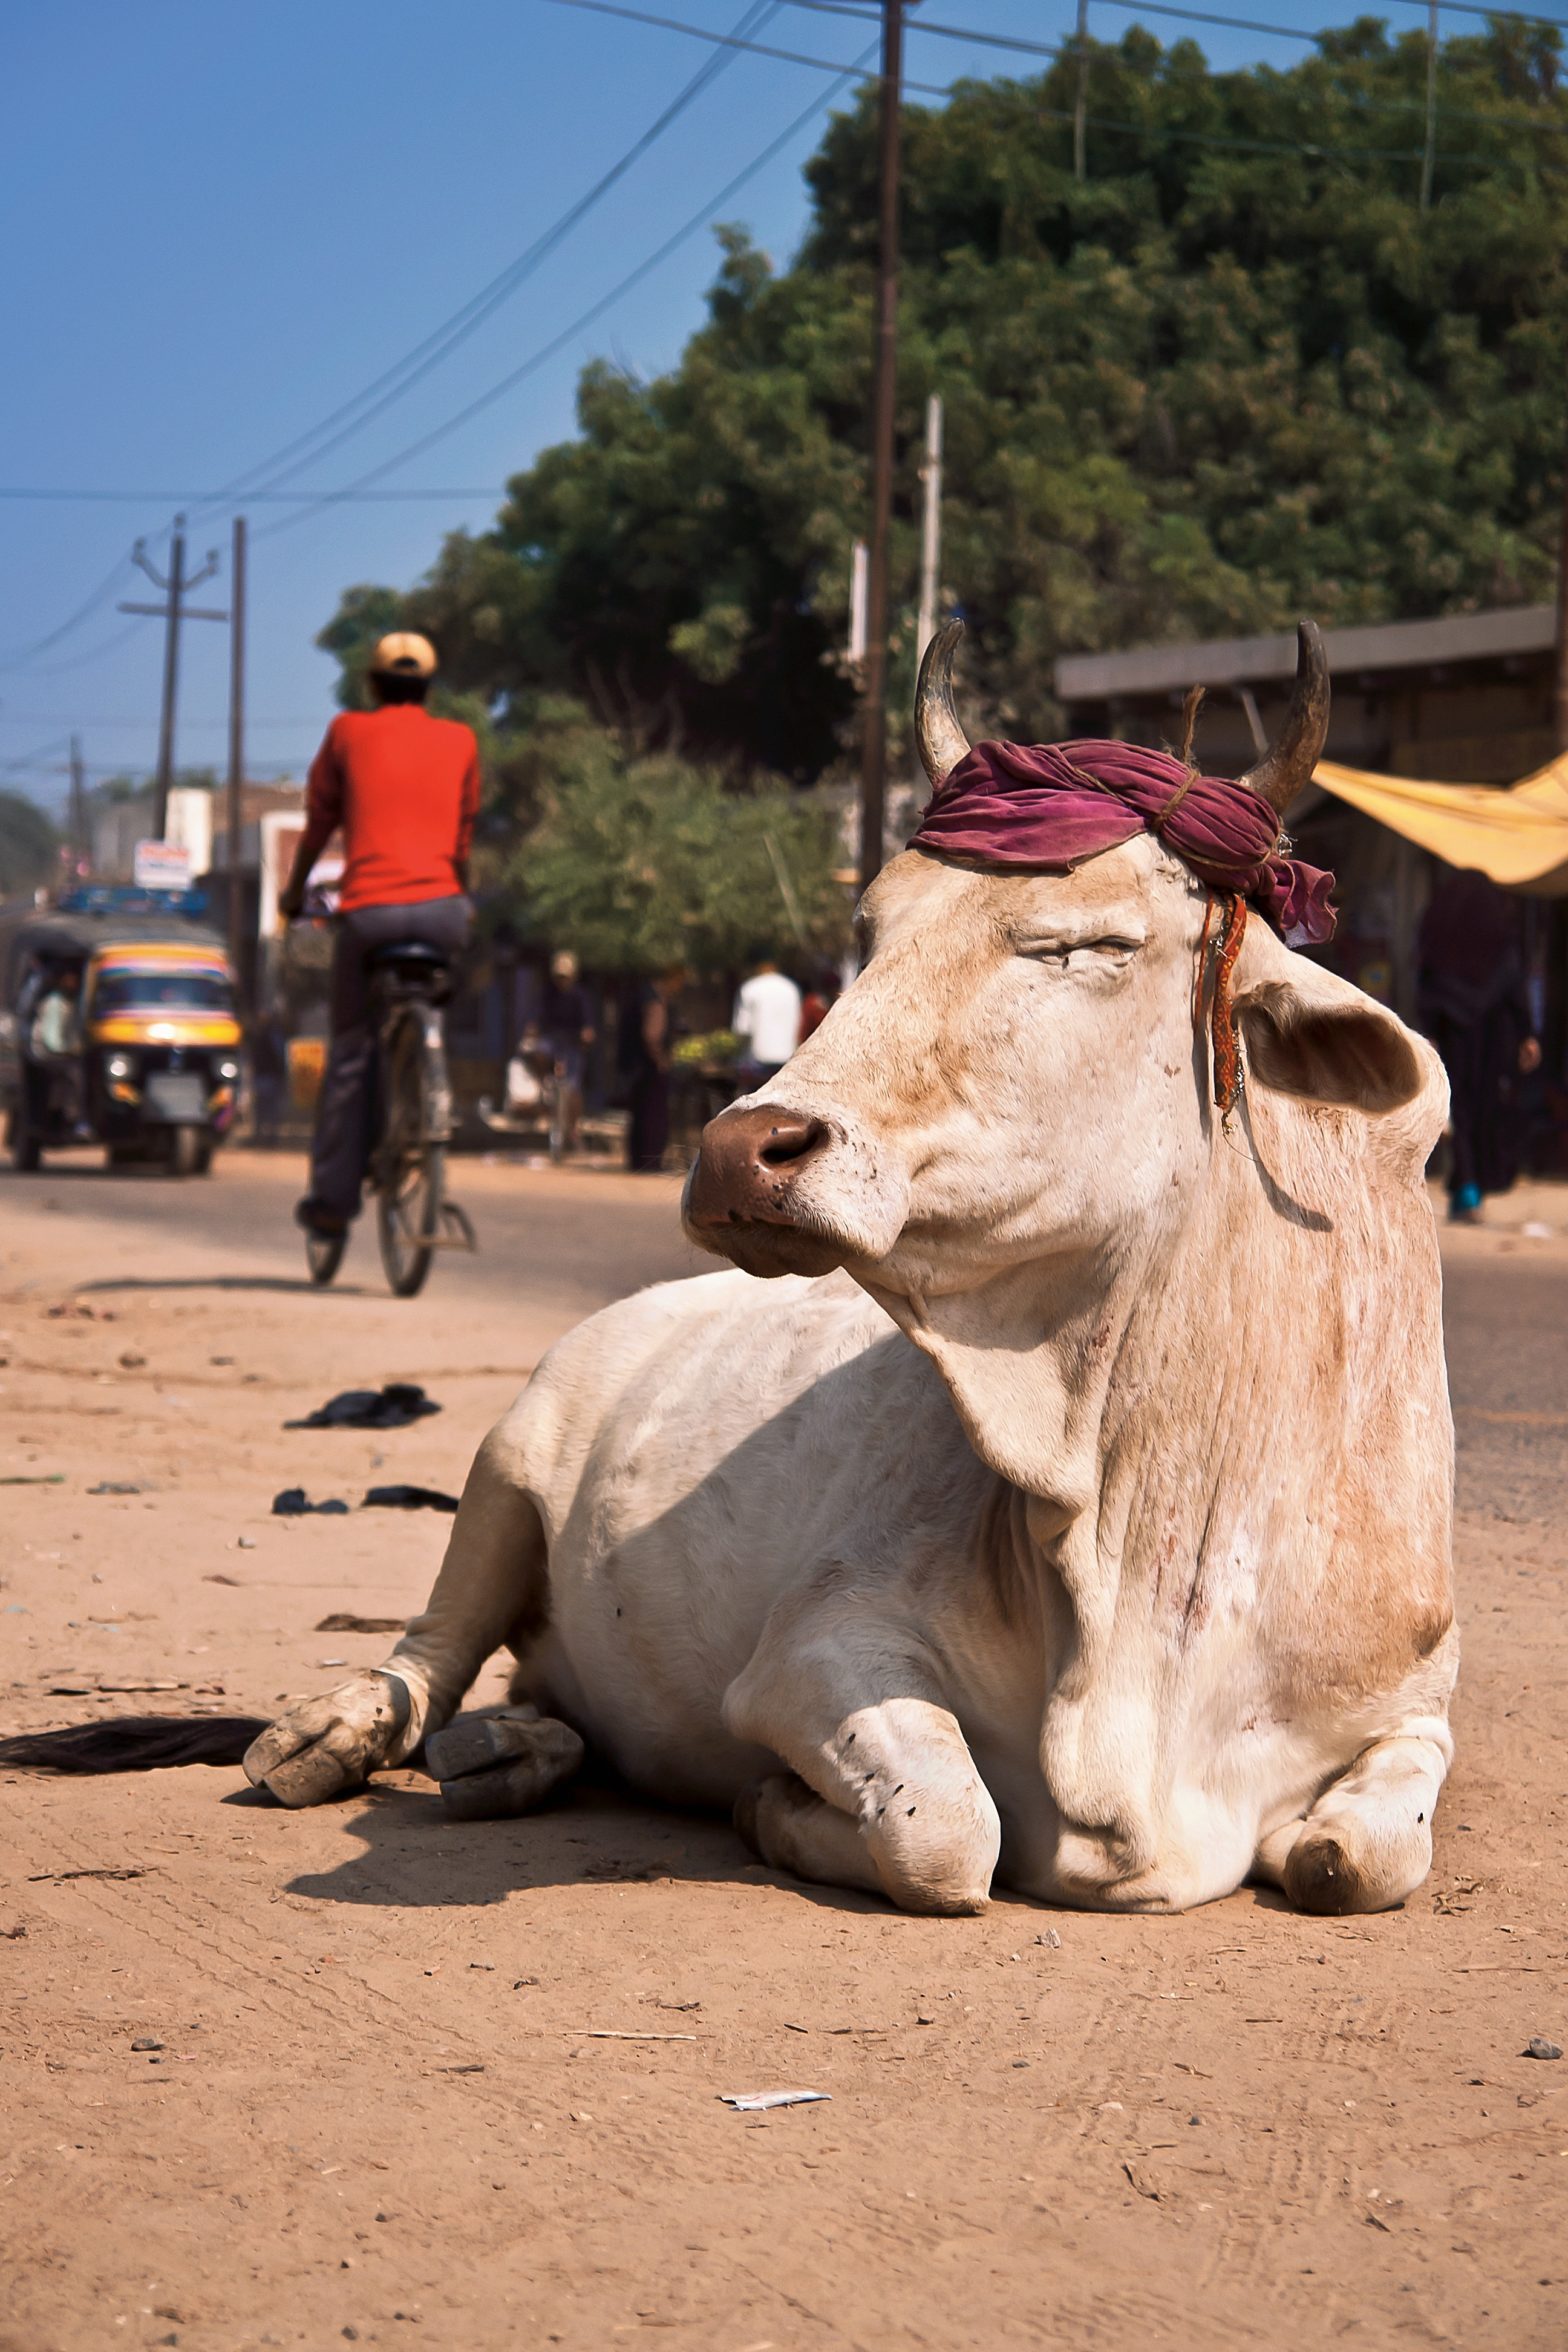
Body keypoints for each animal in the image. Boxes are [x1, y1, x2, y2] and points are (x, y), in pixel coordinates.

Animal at [6, 625, 1457, 1918]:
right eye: (869, 927)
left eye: (1088, 944)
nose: (736, 1151)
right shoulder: (817, 1655)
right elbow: (949, 1834)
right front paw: (771, 1809)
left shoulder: (1413, 1713)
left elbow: (1360, 1860)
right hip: (502, 1465)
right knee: (431, 1652)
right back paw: (342, 1736)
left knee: (528, 1701)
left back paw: (521, 1751)